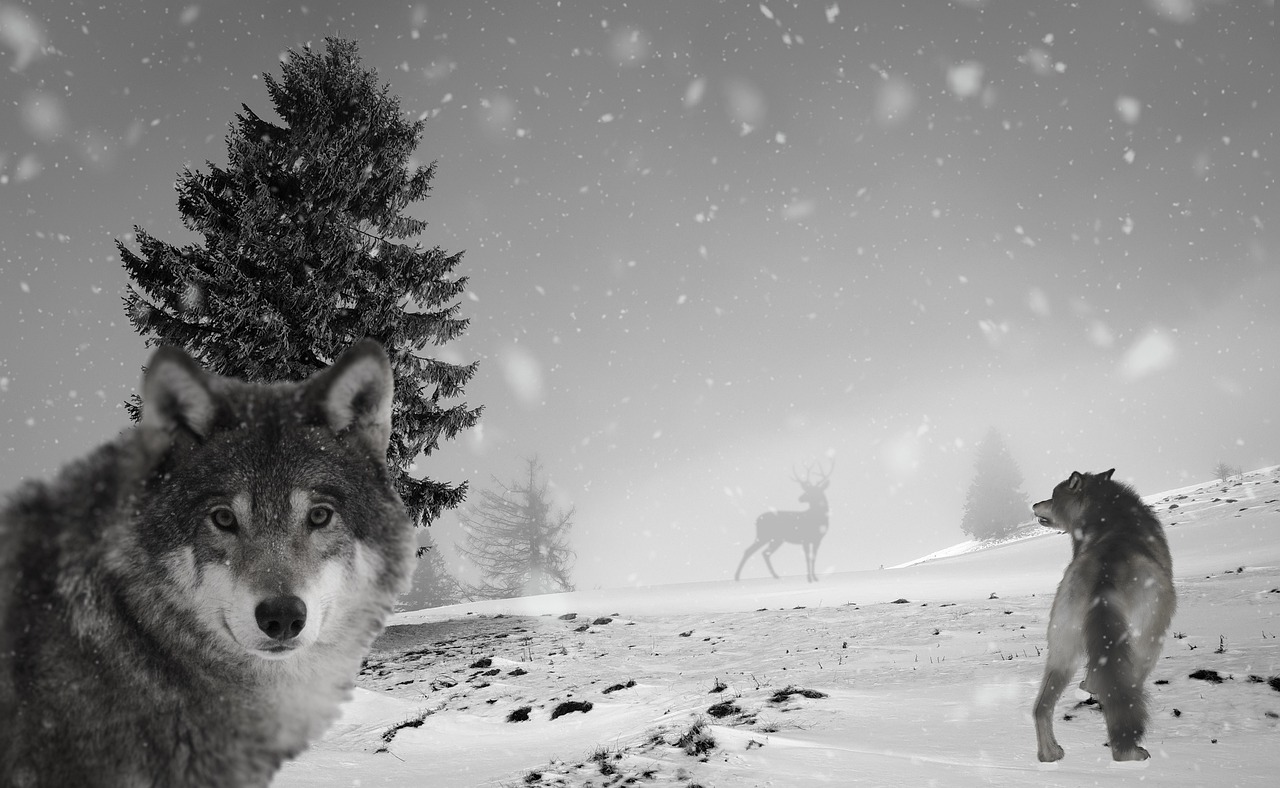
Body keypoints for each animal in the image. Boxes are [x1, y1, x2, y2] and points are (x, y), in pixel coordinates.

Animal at [1030, 469, 1176, 763]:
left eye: (1052, 496)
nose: (1034, 504)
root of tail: (1104, 579)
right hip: (1149, 640)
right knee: (1125, 692)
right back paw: (1129, 751)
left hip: (1063, 648)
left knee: (1042, 706)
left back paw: (1050, 753)